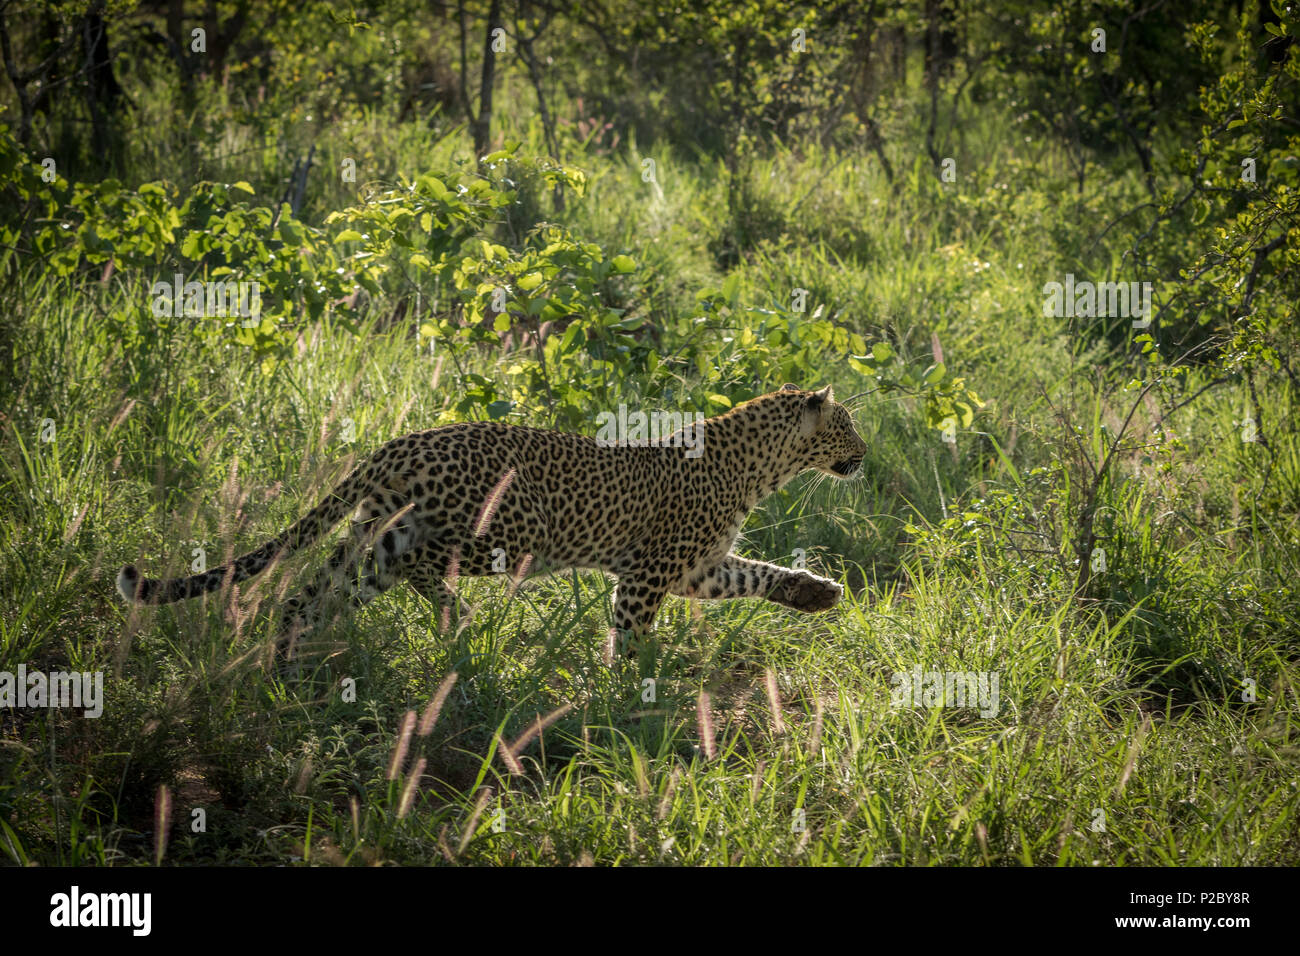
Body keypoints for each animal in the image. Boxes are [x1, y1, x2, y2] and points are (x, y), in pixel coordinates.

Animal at [116, 383, 867, 659]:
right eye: (848, 426)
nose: (866, 454)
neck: (761, 468)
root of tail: (400, 443)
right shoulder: (651, 574)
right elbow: (629, 634)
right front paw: (629, 695)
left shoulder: (698, 570)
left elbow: (757, 575)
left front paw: (817, 592)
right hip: (509, 533)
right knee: (415, 561)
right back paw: (456, 616)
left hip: (376, 533)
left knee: (312, 595)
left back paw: (288, 672)